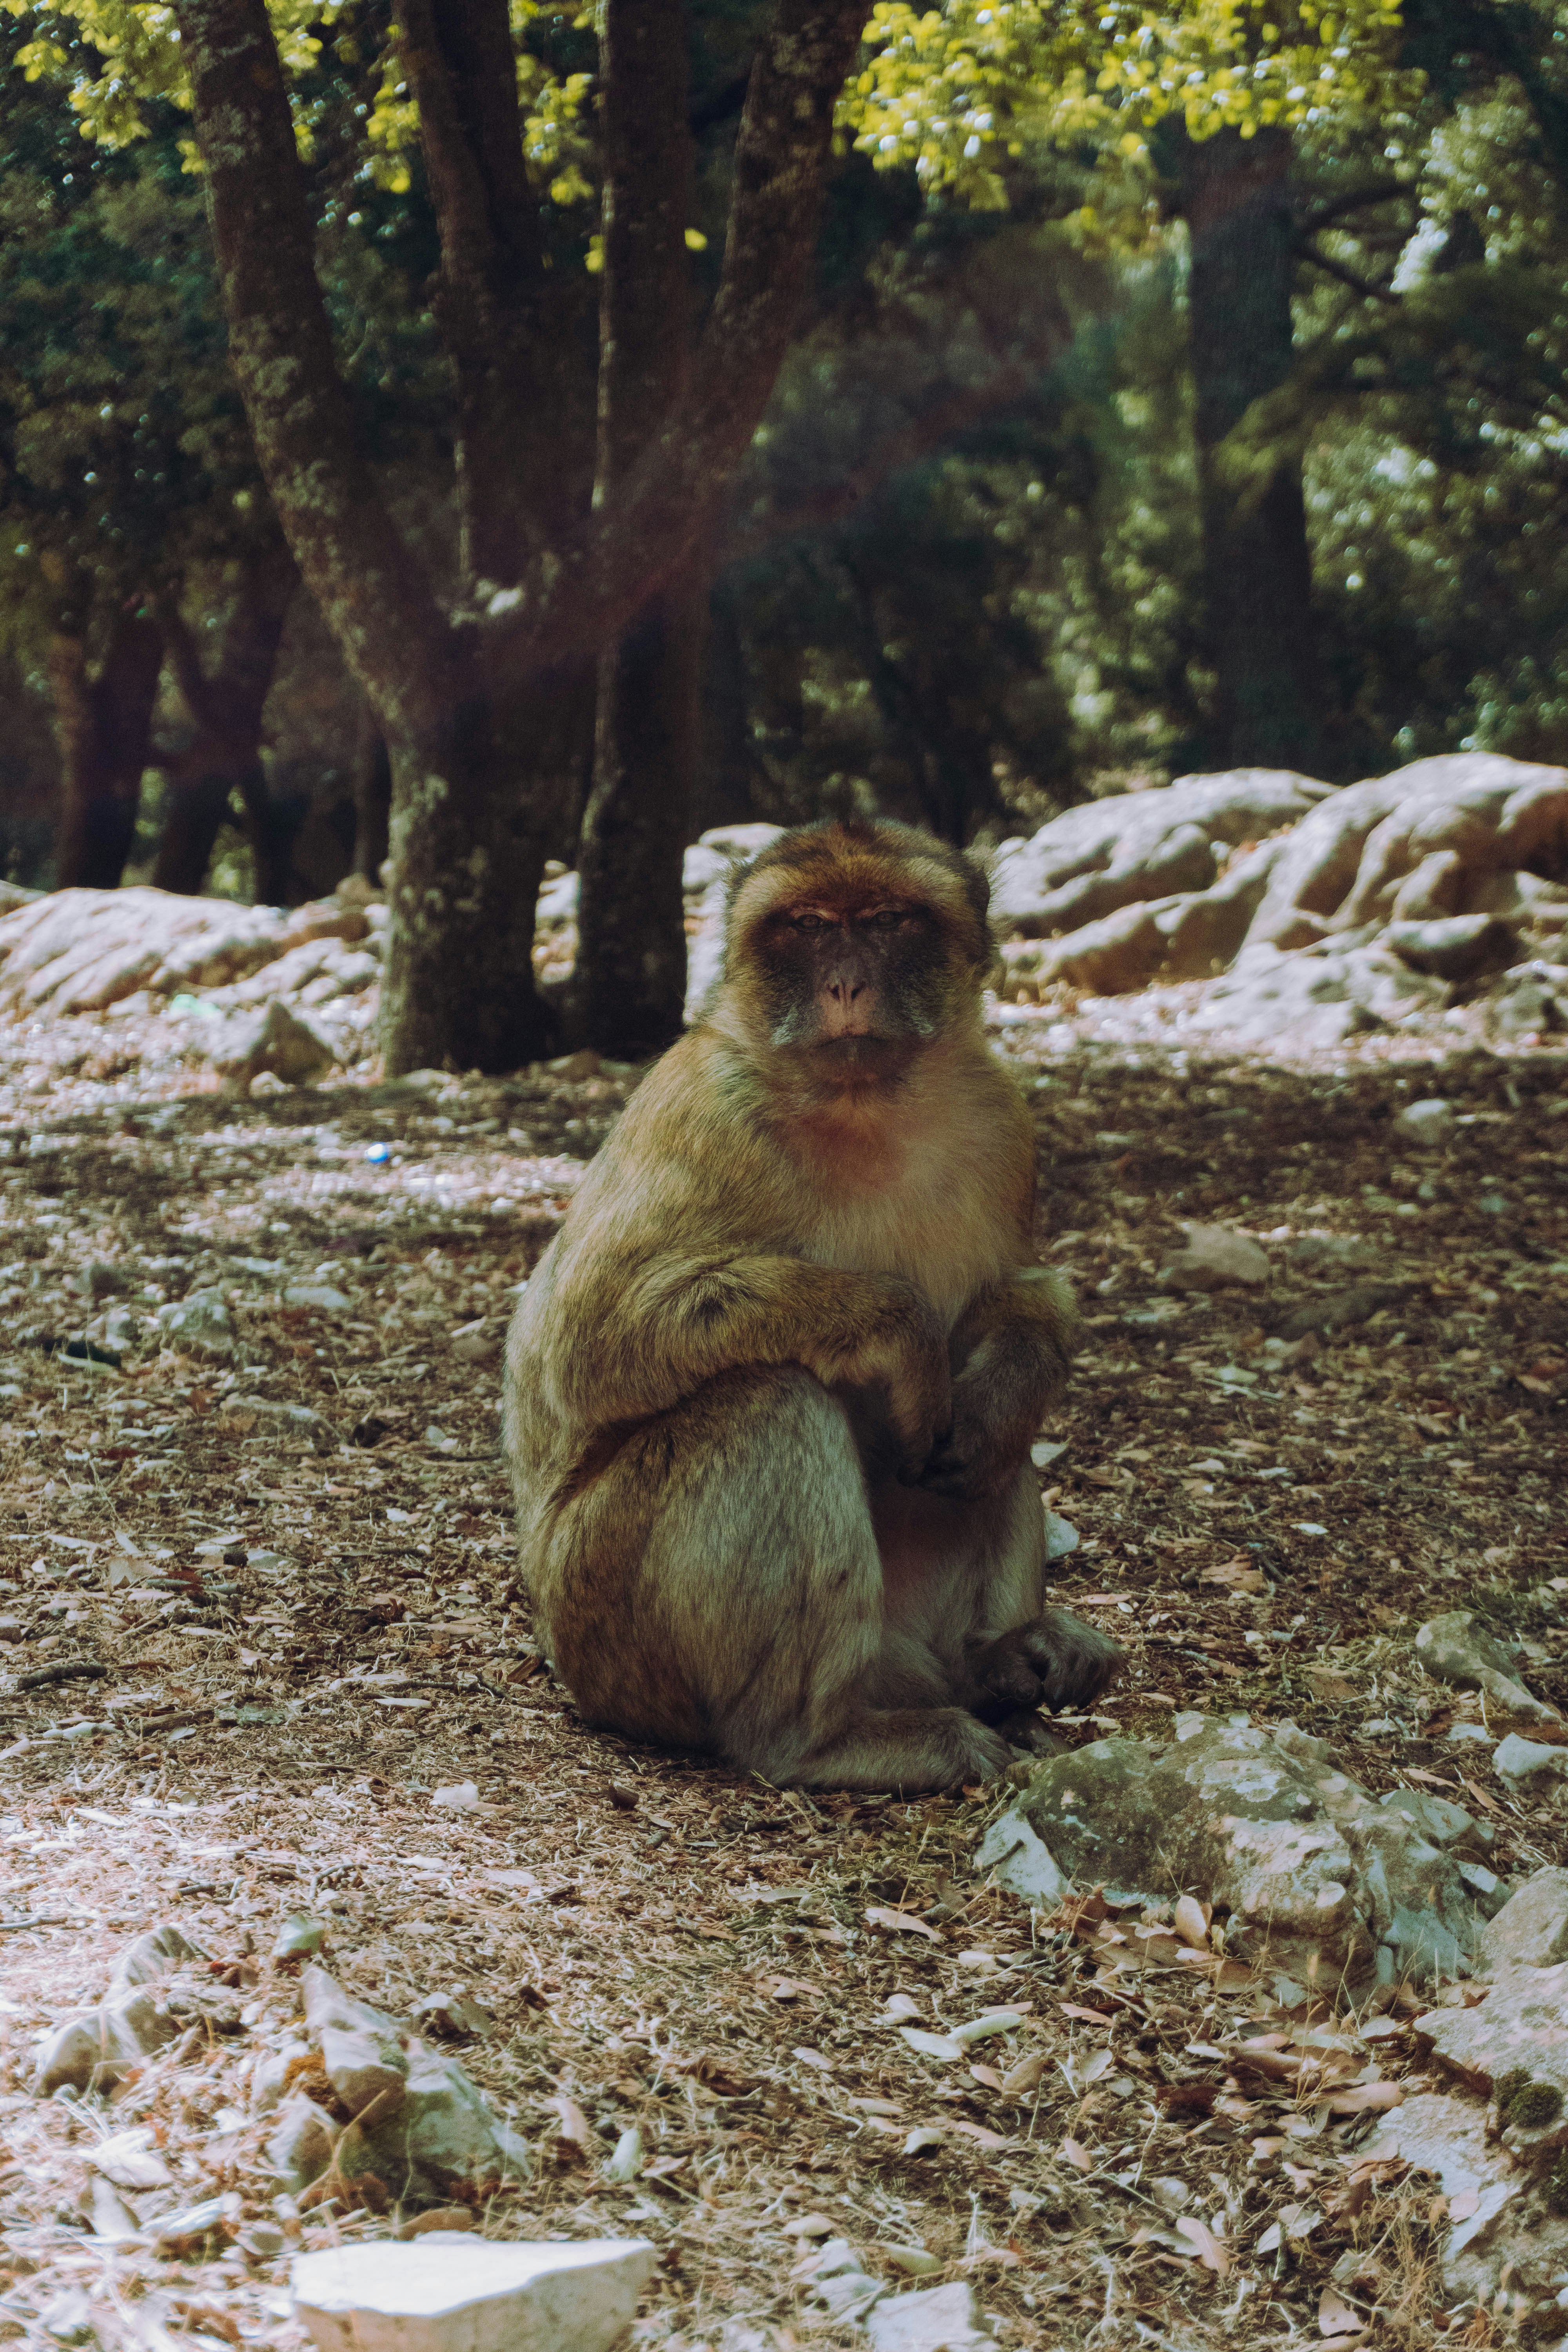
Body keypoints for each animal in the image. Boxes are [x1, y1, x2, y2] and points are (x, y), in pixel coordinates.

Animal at [501, 816, 1121, 1792]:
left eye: (887, 920)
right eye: (806, 926)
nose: (844, 984)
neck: (863, 1102)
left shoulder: (1003, 1117)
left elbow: (1015, 1296)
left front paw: (1009, 1376)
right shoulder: (698, 1109)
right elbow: (588, 1338)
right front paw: (898, 1332)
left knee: (993, 1453)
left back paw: (1002, 1661)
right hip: (607, 1626)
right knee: (766, 1401)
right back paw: (819, 1739)